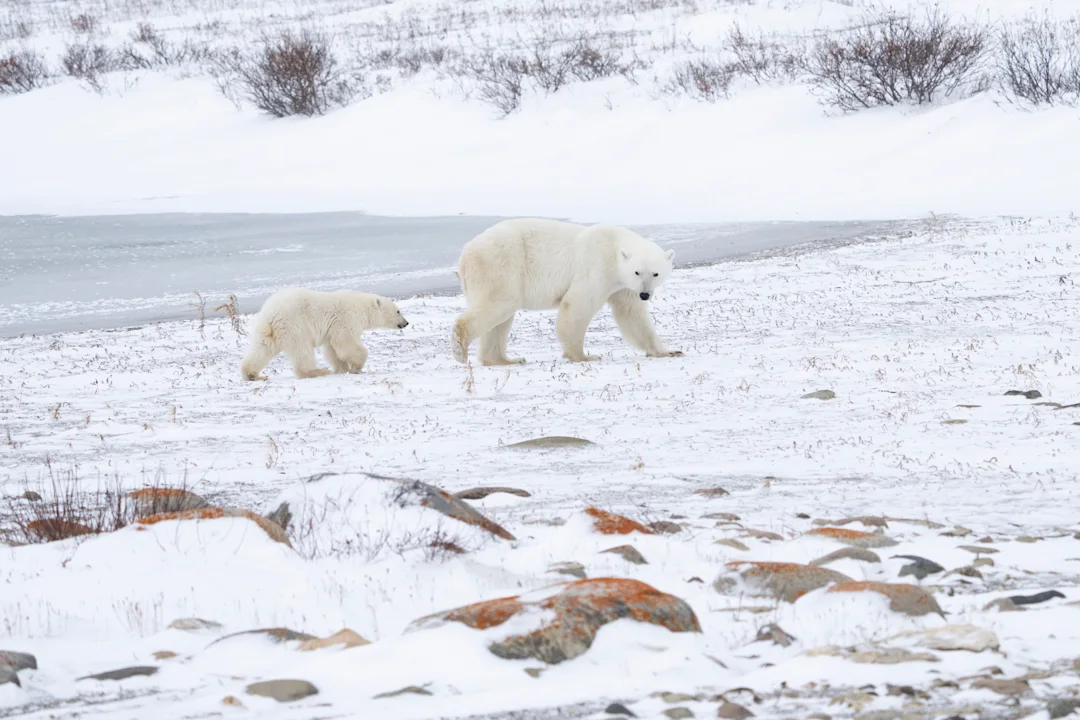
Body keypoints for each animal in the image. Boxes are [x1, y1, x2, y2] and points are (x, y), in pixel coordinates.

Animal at [240, 288, 409, 381]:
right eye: (398, 311)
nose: (406, 323)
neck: (362, 307)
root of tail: (271, 315)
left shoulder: (332, 329)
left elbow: (332, 349)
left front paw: (343, 368)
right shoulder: (347, 318)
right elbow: (345, 342)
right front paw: (356, 367)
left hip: (269, 331)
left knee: (262, 349)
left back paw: (252, 374)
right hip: (296, 326)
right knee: (303, 351)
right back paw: (317, 371)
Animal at [451, 218, 683, 365]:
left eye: (655, 273)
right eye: (637, 272)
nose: (645, 294)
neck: (613, 246)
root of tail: (465, 252)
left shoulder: (623, 286)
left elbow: (632, 315)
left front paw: (668, 351)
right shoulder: (597, 267)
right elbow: (578, 304)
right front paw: (583, 356)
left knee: (500, 320)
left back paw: (506, 360)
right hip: (500, 264)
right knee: (500, 303)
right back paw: (461, 349)